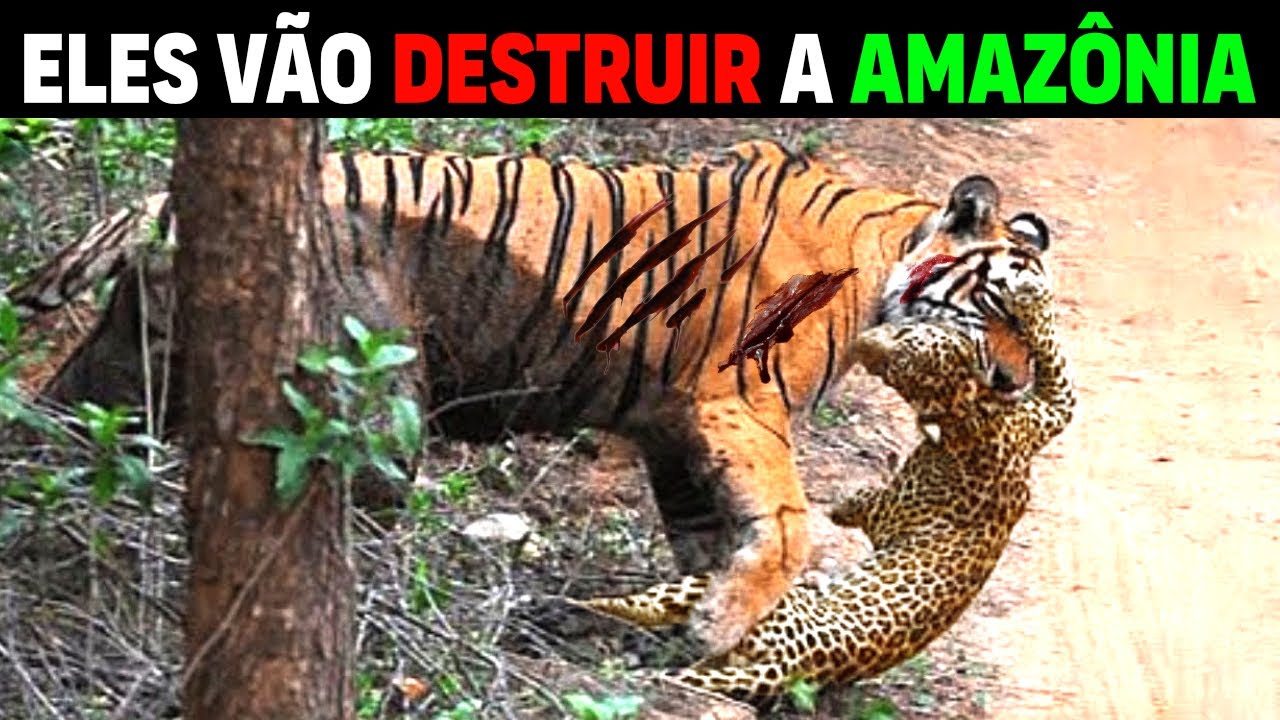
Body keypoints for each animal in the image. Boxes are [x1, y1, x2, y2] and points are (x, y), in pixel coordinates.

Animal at [4, 138, 1054, 658]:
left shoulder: (673, 431)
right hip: (376, 396)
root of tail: (160, 203)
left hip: (124, 368)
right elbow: (789, 529)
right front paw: (722, 627)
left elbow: (704, 542)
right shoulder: (738, 404)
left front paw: (695, 631)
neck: (885, 258)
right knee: (352, 526)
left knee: (58, 430)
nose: (1010, 383)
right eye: (996, 310)